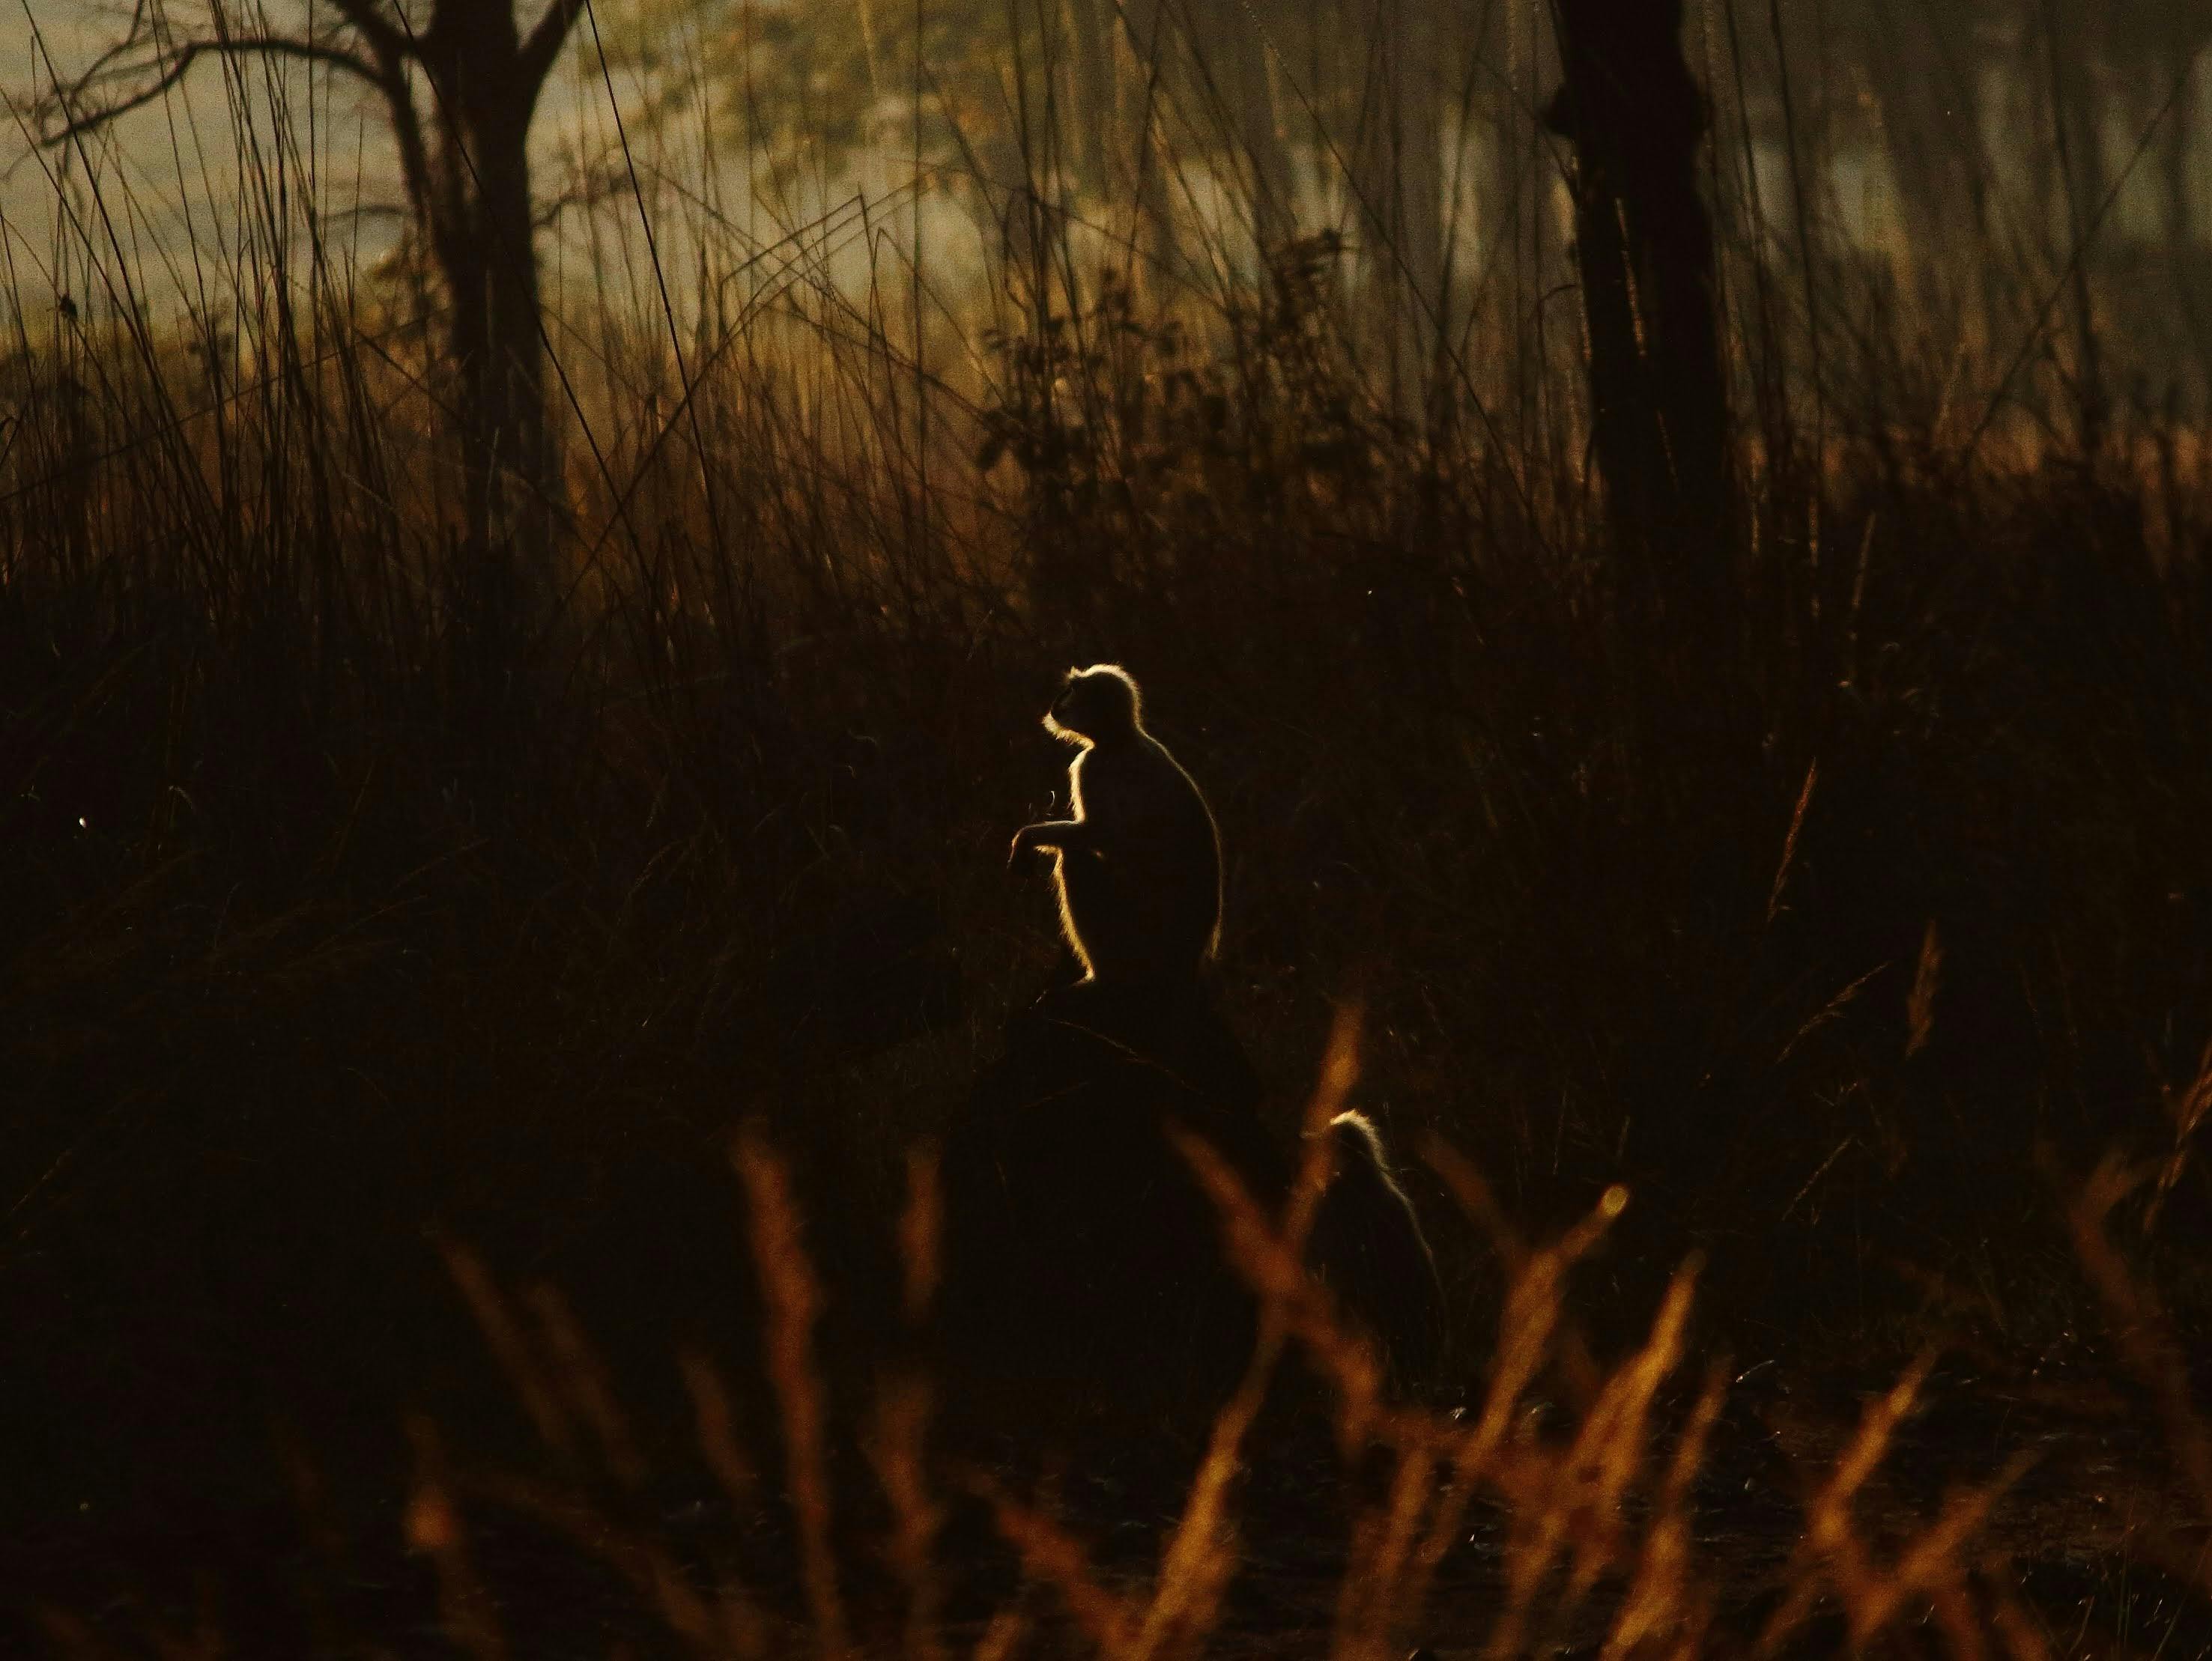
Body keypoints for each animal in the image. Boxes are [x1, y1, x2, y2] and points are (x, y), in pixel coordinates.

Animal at [1008, 665, 1222, 988]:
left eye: (1072, 691)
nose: (1058, 701)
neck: (1122, 740)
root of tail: (1186, 966)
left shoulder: (1091, 764)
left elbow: (1098, 834)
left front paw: (1025, 839)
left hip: (1133, 941)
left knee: (1074, 855)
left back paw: (1102, 977)